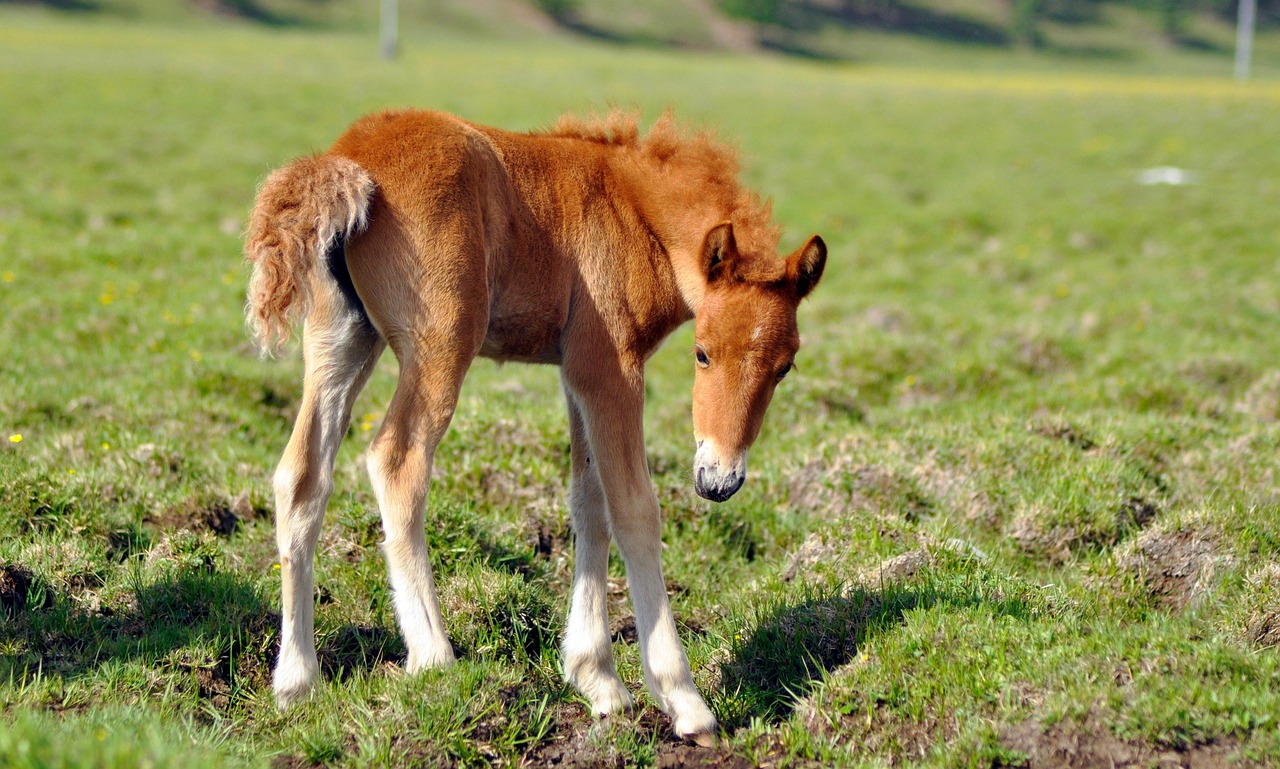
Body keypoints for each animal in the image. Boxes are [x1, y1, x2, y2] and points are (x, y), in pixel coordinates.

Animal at [244, 108, 826, 744]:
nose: (719, 480)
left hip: (341, 338)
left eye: (785, 367)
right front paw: (683, 699)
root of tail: (350, 160)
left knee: (300, 477)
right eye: (702, 354)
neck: (632, 208)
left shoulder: (576, 373)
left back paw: (296, 681)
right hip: (441, 344)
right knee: (397, 459)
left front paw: (599, 681)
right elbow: (634, 510)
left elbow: (589, 504)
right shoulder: (610, 367)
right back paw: (433, 657)